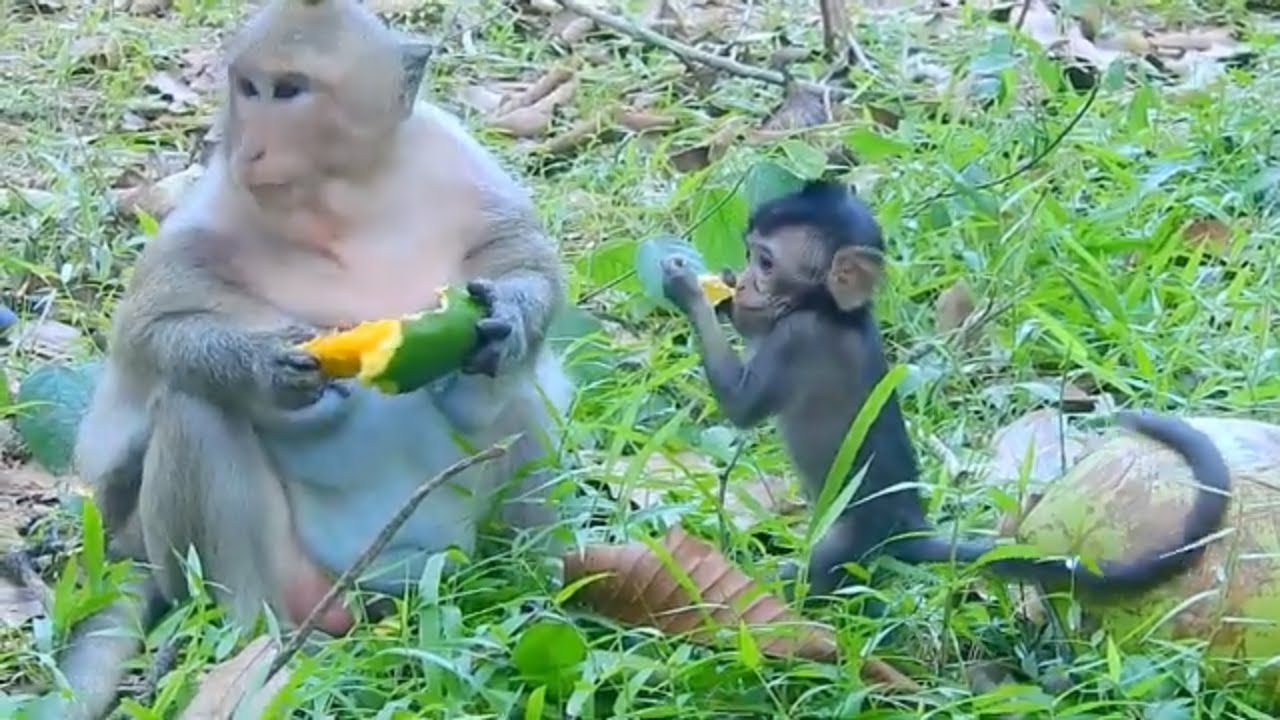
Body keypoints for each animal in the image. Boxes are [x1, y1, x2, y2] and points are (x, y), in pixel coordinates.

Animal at [38, 1, 574, 717]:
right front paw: (263, 366)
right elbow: (154, 335)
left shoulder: (456, 160)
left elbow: (524, 259)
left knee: (514, 395)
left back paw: (531, 583)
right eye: (249, 87)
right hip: (293, 578)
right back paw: (259, 640)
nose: (248, 144)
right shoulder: (213, 210)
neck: (342, 203)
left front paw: (508, 317)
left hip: (443, 550)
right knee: (194, 408)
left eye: (289, 90)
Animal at [659, 179, 1231, 602]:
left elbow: (740, 408)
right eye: (749, 256)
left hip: (851, 542)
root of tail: (909, 526)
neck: (834, 311)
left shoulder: (799, 337)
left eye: (767, 264)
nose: (744, 284)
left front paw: (688, 291)